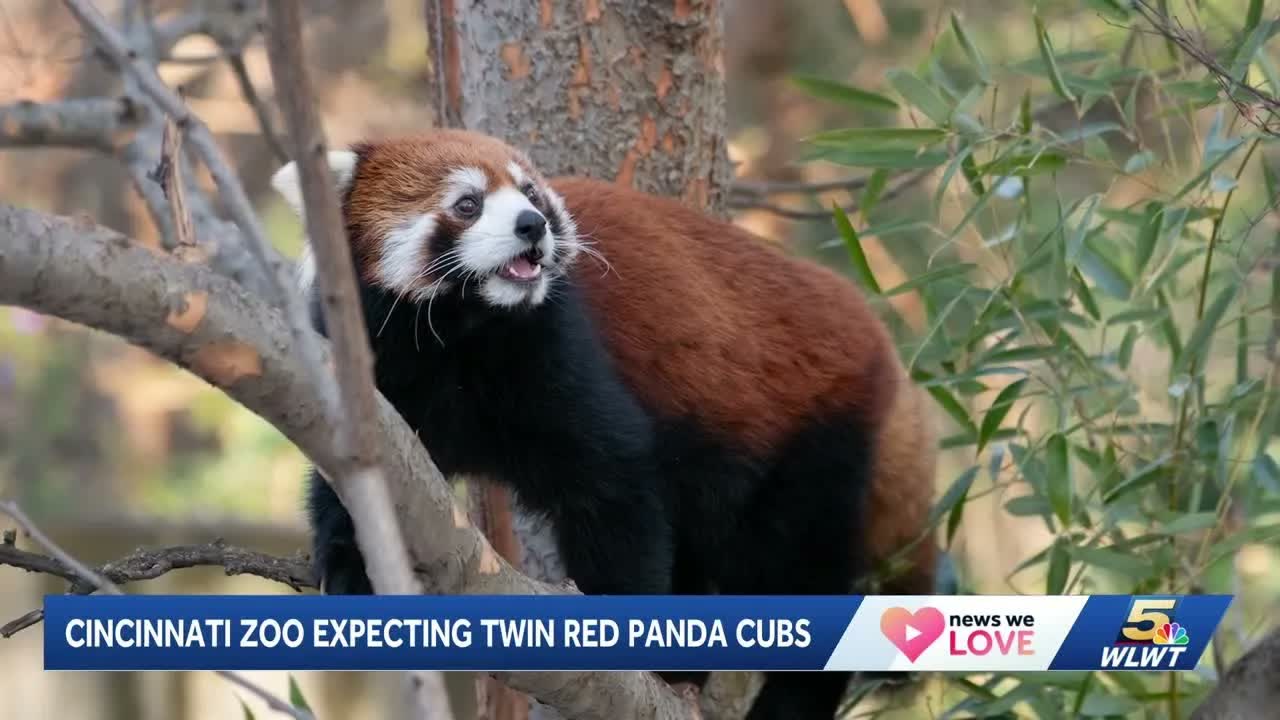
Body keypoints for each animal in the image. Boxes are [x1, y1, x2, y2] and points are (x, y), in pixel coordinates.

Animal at [271, 129, 939, 719]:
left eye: (530, 193)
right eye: (467, 204)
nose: (532, 225)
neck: (459, 338)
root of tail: (875, 336)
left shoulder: (560, 350)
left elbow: (614, 485)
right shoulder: (372, 377)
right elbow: (352, 482)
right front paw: (349, 567)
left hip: (809, 442)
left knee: (792, 565)